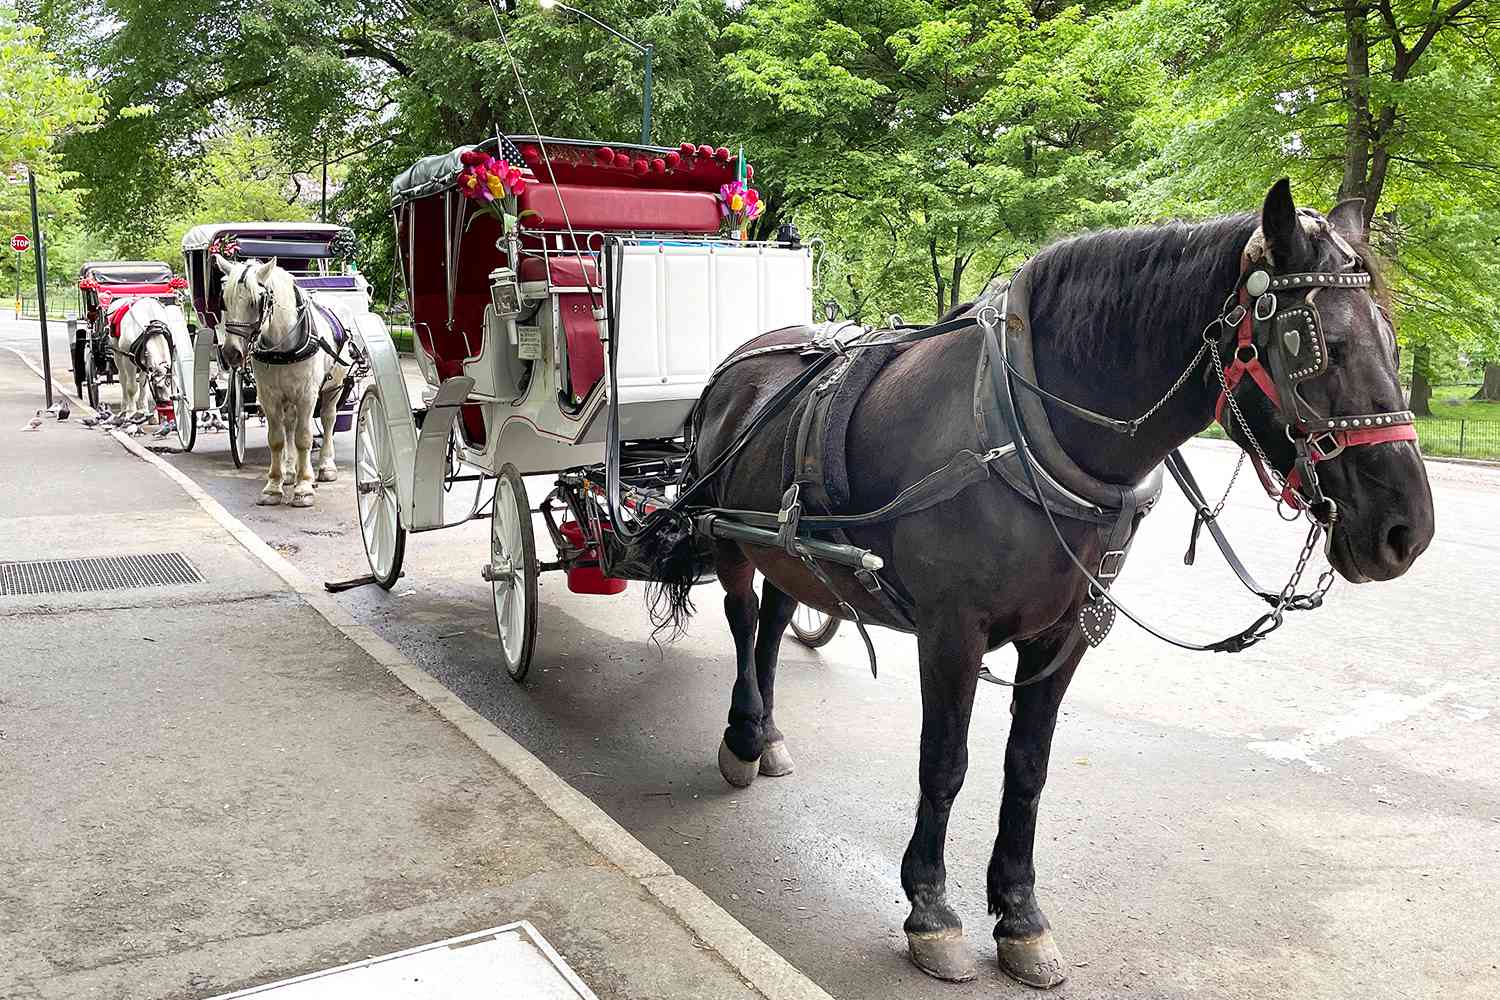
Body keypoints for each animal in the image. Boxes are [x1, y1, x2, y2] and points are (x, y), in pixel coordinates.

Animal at [216, 256, 351, 507]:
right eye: (225, 301)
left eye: (255, 301)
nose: (231, 353)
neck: (281, 346)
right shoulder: (269, 396)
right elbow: (277, 439)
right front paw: (274, 486)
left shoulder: (307, 395)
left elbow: (304, 438)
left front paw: (304, 486)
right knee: (289, 424)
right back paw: (290, 471)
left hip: (333, 387)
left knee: (328, 419)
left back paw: (326, 466)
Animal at [648, 181, 1435, 987]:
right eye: (1317, 345)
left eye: (1391, 341)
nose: (1407, 529)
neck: (1028, 422)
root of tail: (736, 366)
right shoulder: (951, 632)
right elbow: (945, 762)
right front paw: (931, 910)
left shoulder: (1063, 634)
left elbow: (1027, 767)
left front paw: (1020, 915)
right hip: (726, 535)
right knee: (746, 622)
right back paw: (743, 735)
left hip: (787, 546)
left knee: (777, 622)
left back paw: (768, 734)